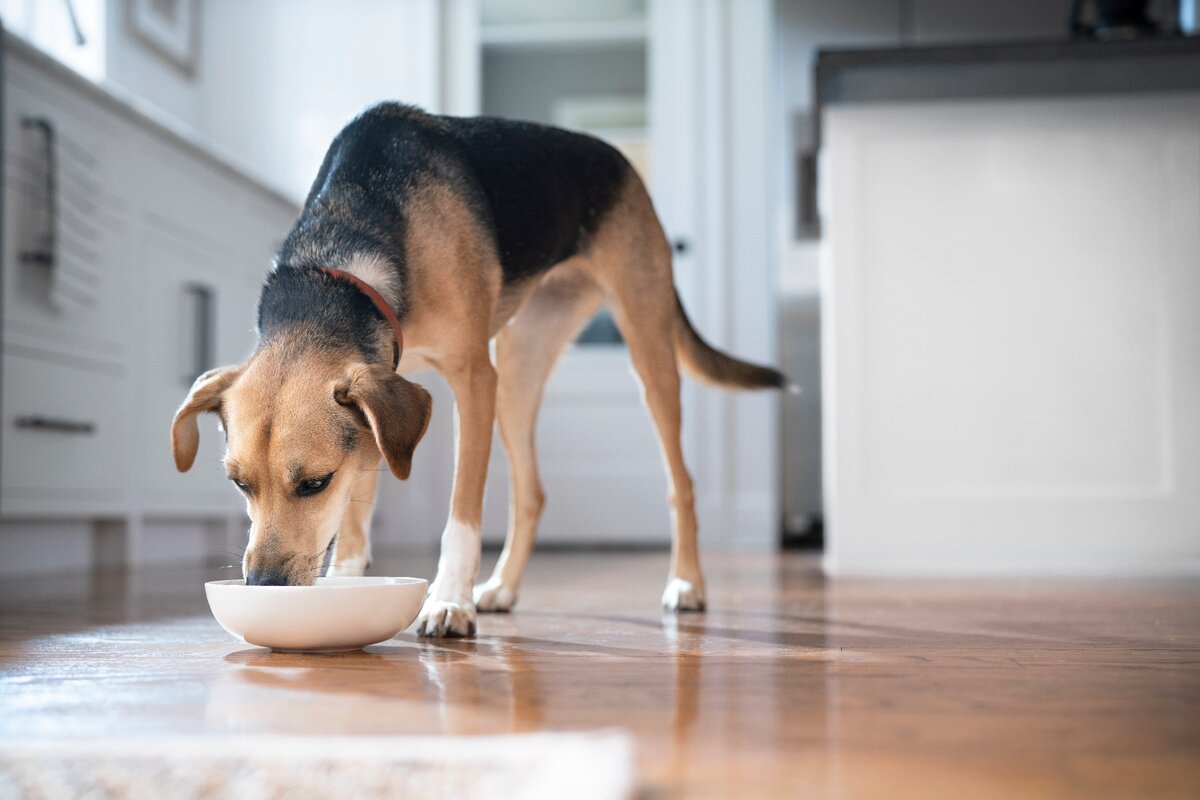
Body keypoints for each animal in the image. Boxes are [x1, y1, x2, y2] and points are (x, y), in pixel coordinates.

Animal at [171, 103, 787, 638]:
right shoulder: (378, 410)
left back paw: (686, 584)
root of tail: (619, 159)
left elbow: (462, 513)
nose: (262, 585)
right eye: (239, 483)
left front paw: (448, 602)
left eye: (314, 484)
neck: (347, 260)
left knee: (680, 484)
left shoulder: (471, 379)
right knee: (532, 493)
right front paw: (351, 582)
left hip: (644, 349)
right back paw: (503, 587)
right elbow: (356, 517)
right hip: (517, 373)